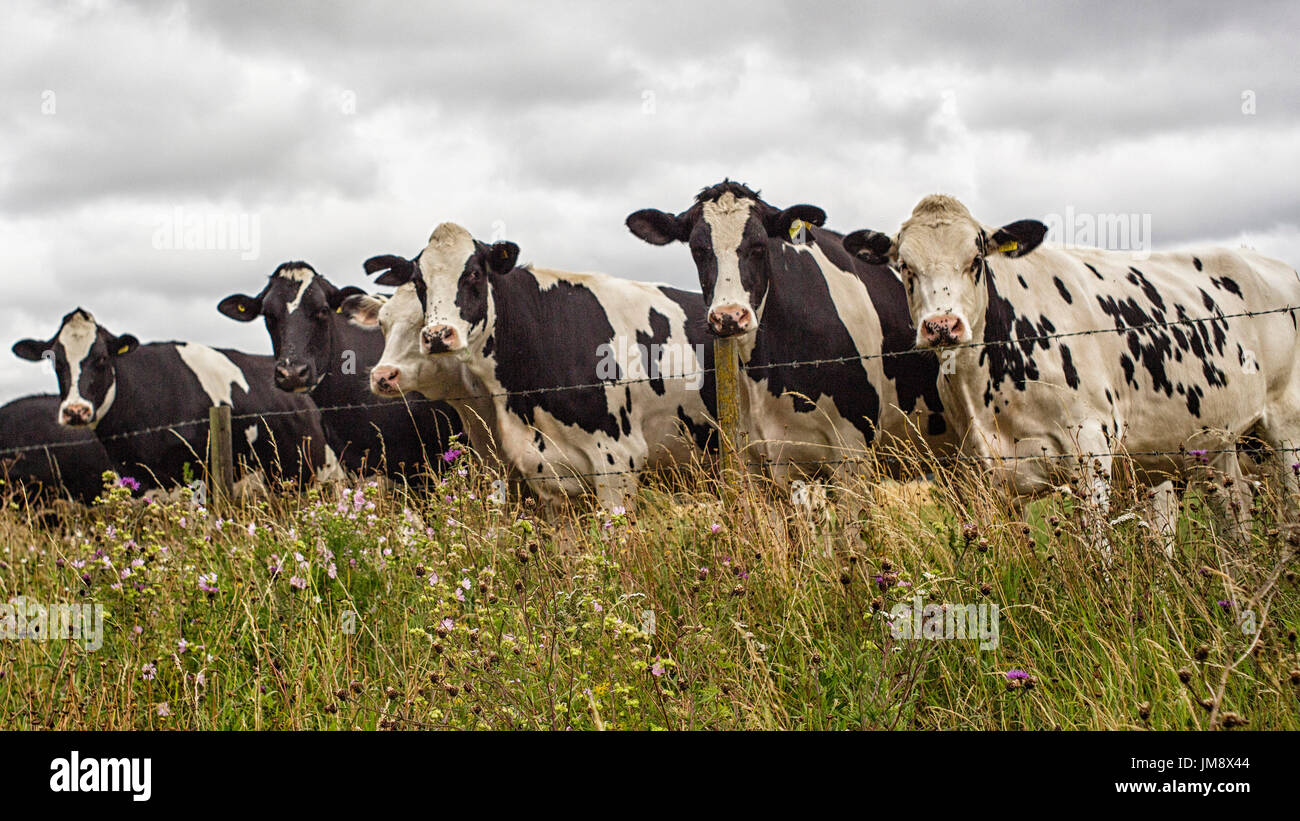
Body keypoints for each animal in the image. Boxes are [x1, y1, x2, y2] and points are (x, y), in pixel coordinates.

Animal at [842, 194, 1300, 548]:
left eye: (976, 260)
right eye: (905, 267)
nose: (942, 325)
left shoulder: (1092, 449)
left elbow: (1098, 553)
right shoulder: (981, 475)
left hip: (1286, 428)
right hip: (1214, 443)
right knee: (1236, 518)